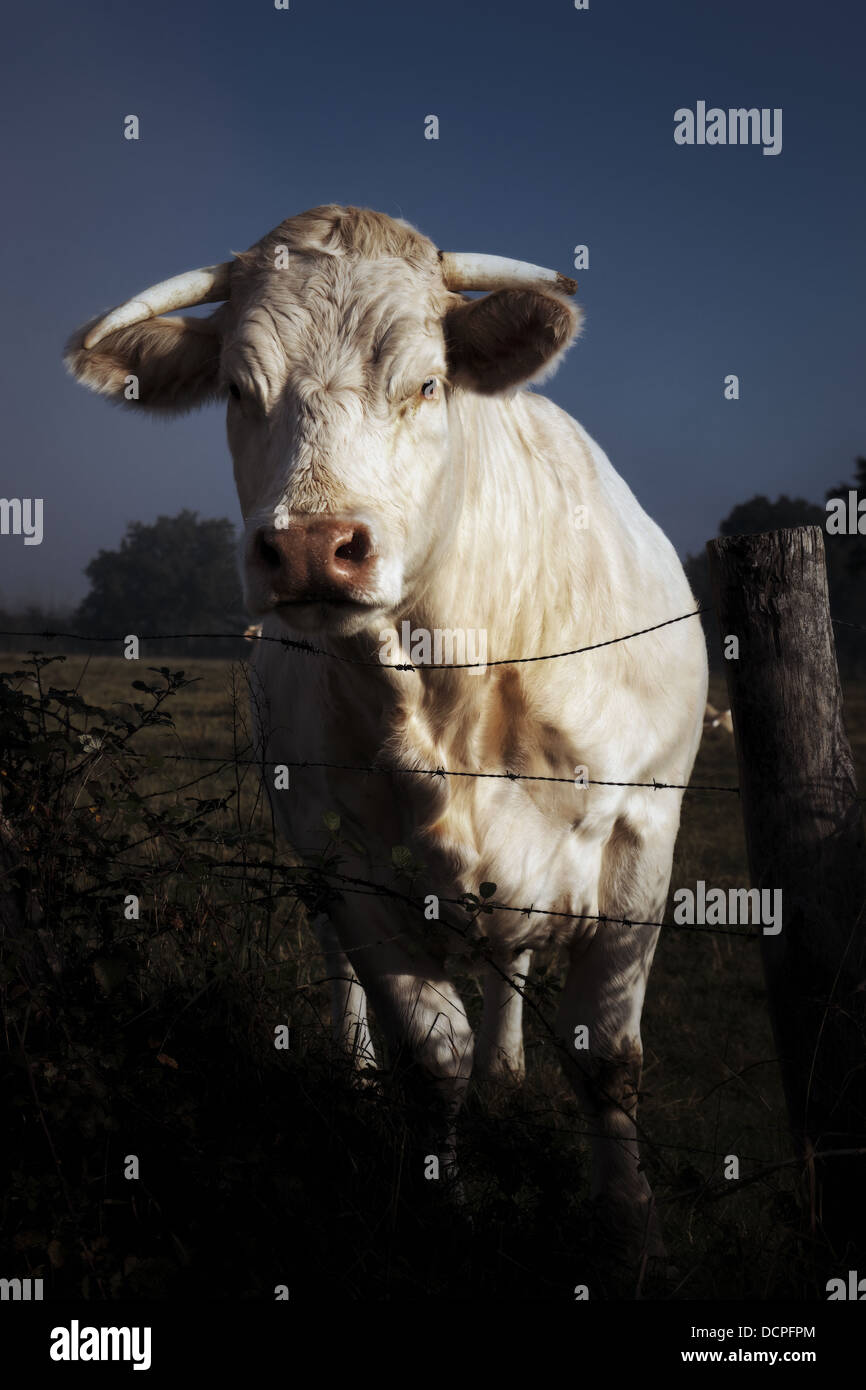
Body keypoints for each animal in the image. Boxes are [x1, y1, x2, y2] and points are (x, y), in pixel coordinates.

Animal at [65, 204, 708, 1266]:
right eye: (238, 389)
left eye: (428, 382)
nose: (311, 547)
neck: (448, 691)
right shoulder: (350, 857)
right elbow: (431, 1056)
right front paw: (440, 1215)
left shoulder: (639, 841)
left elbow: (608, 1061)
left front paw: (627, 1232)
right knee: (347, 969)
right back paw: (358, 1063)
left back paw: (508, 1070)